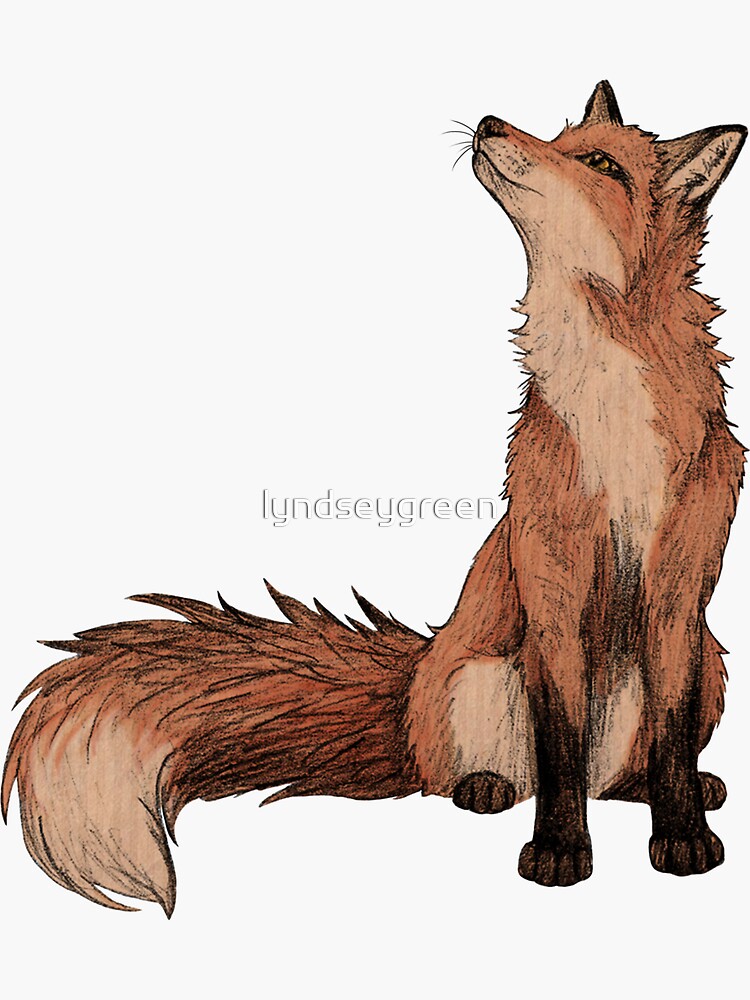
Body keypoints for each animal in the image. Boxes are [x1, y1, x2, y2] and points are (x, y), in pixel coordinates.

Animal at [2, 81, 746, 912]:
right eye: (556, 139)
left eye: (599, 164)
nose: (488, 123)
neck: (612, 408)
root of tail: (412, 678)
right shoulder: (552, 589)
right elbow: (558, 748)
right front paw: (559, 850)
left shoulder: (680, 593)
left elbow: (670, 742)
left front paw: (682, 837)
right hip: (473, 682)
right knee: (482, 776)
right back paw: (486, 787)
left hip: (712, 662)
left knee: (620, 775)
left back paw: (679, 788)